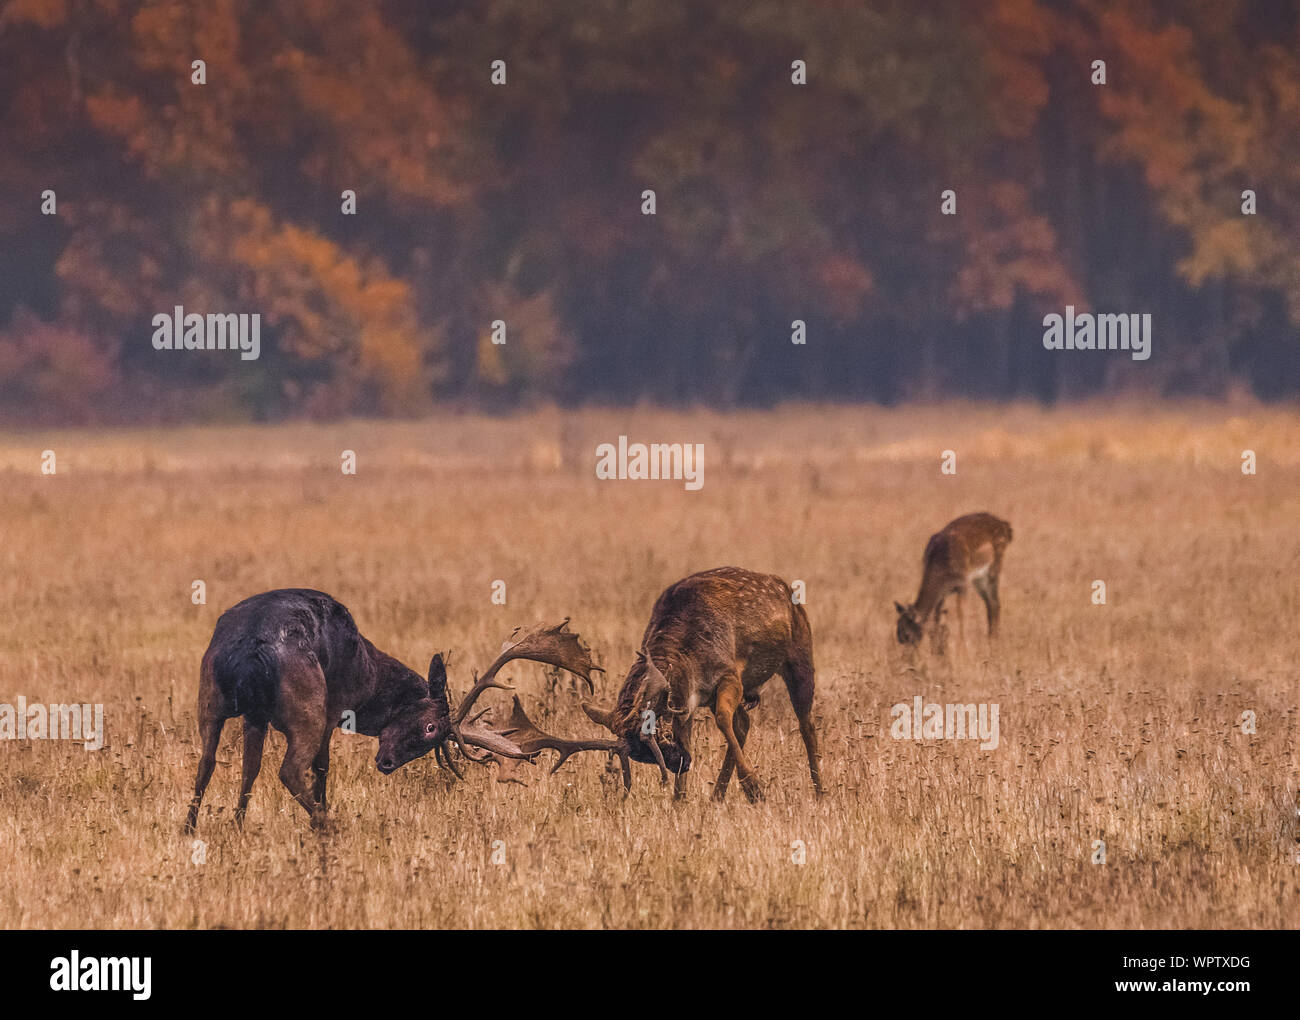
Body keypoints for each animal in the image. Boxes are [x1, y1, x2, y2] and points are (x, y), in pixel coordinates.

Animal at [183, 588, 601, 831]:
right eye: (431, 727)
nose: (386, 764)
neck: (368, 681)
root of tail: (251, 653)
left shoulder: (255, 717)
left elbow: (249, 769)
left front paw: (238, 824)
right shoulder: (335, 708)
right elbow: (321, 768)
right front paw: (320, 815)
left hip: (209, 694)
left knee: (206, 762)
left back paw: (189, 826)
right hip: (307, 705)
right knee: (289, 769)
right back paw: (327, 826)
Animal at [479, 567, 823, 803]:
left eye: (660, 735)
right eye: (640, 755)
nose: (684, 764)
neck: (688, 654)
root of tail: (784, 587)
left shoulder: (729, 674)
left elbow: (724, 721)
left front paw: (755, 788)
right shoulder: (688, 702)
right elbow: (711, 729)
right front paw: (679, 801)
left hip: (800, 655)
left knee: (805, 724)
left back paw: (820, 790)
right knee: (746, 722)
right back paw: (717, 796)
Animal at [894, 512, 1013, 653]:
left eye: (908, 635)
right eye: (898, 631)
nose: (907, 655)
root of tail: (1005, 526)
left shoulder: (963, 583)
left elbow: (961, 614)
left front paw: (962, 650)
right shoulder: (943, 594)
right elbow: (937, 617)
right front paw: (937, 650)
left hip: (993, 569)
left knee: (995, 603)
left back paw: (994, 643)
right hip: (979, 579)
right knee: (990, 604)